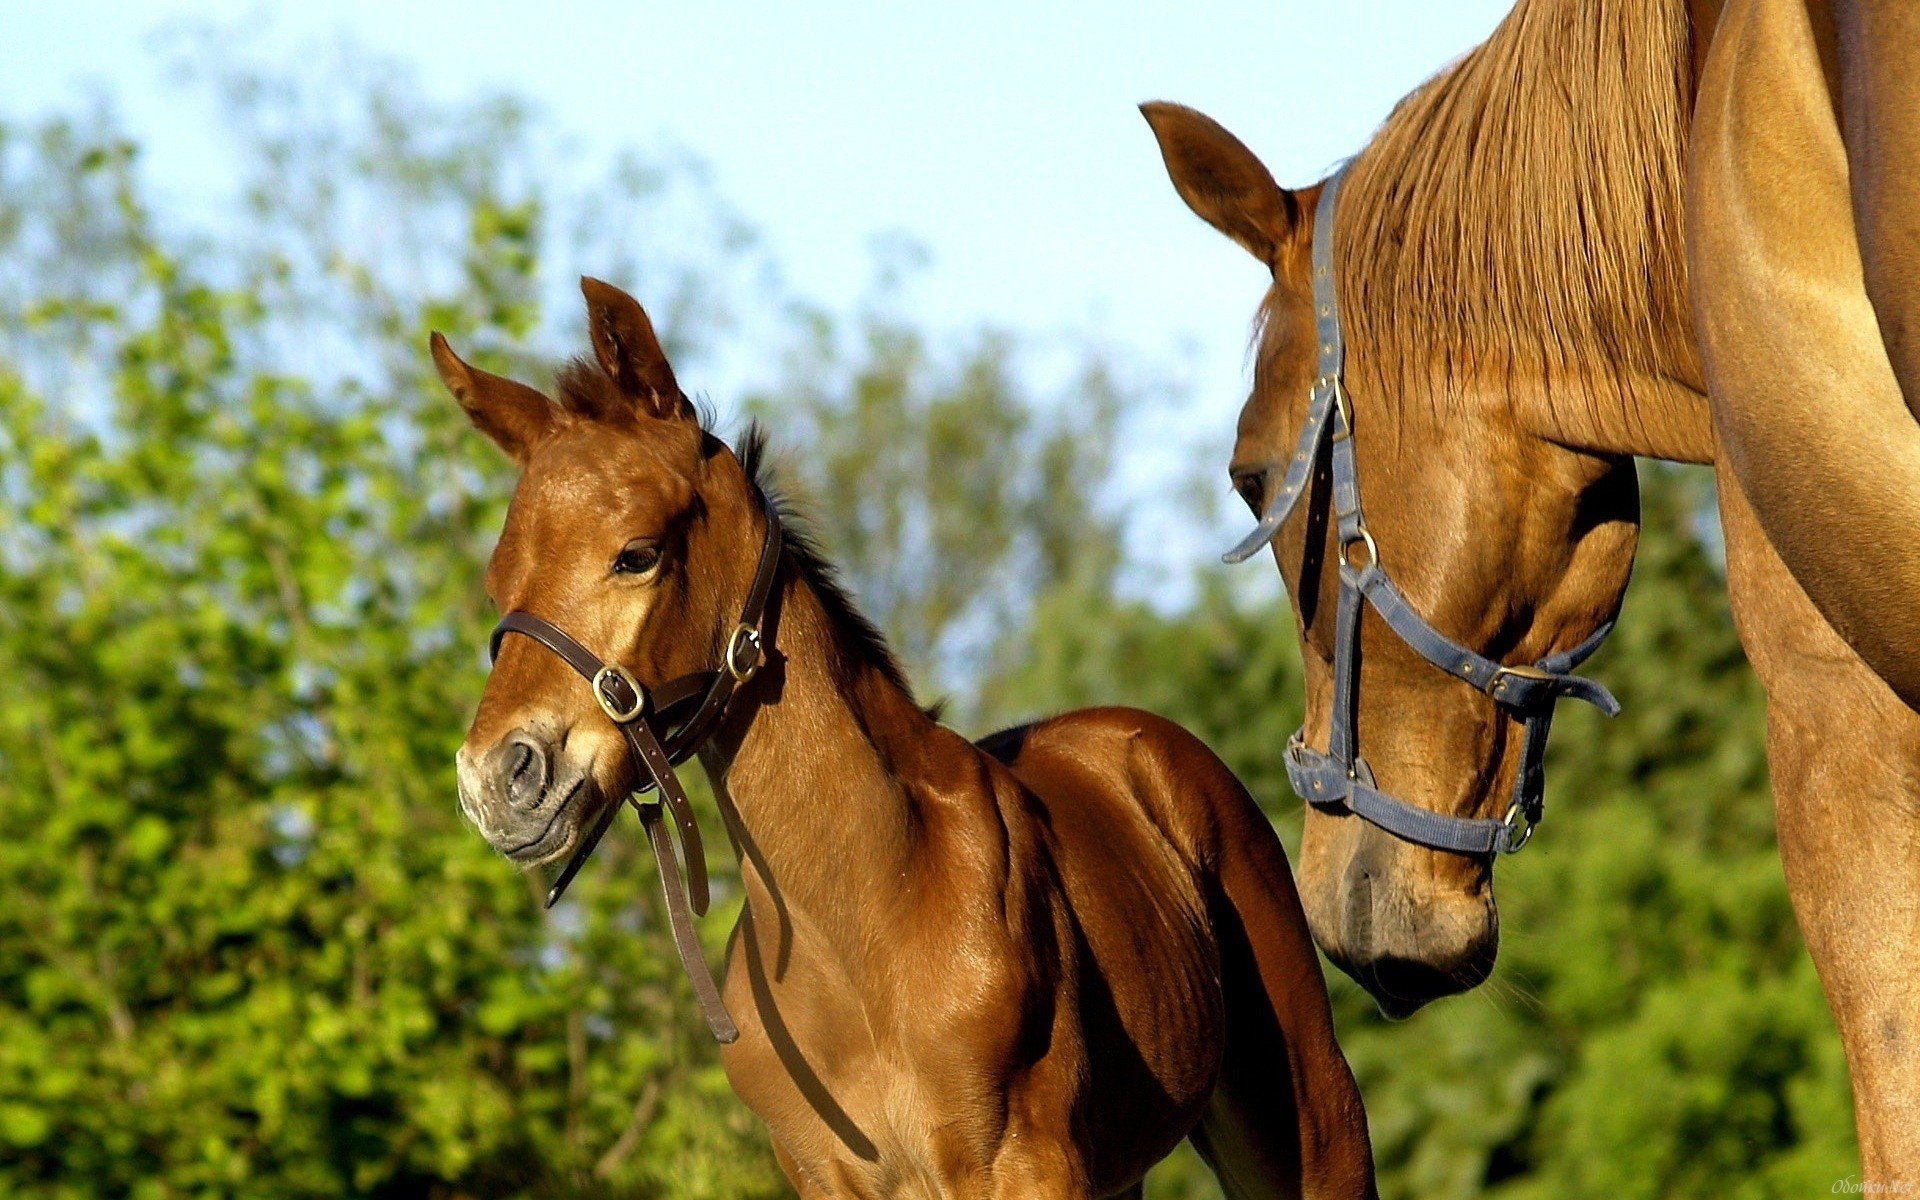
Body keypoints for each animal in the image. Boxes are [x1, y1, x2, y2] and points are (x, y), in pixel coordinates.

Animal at [432, 277, 1377, 1199]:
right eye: (497, 582)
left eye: (637, 554)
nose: (497, 780)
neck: (864, 926)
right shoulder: (822, 1179)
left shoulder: (1027, 1164)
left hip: (1305, 1112)